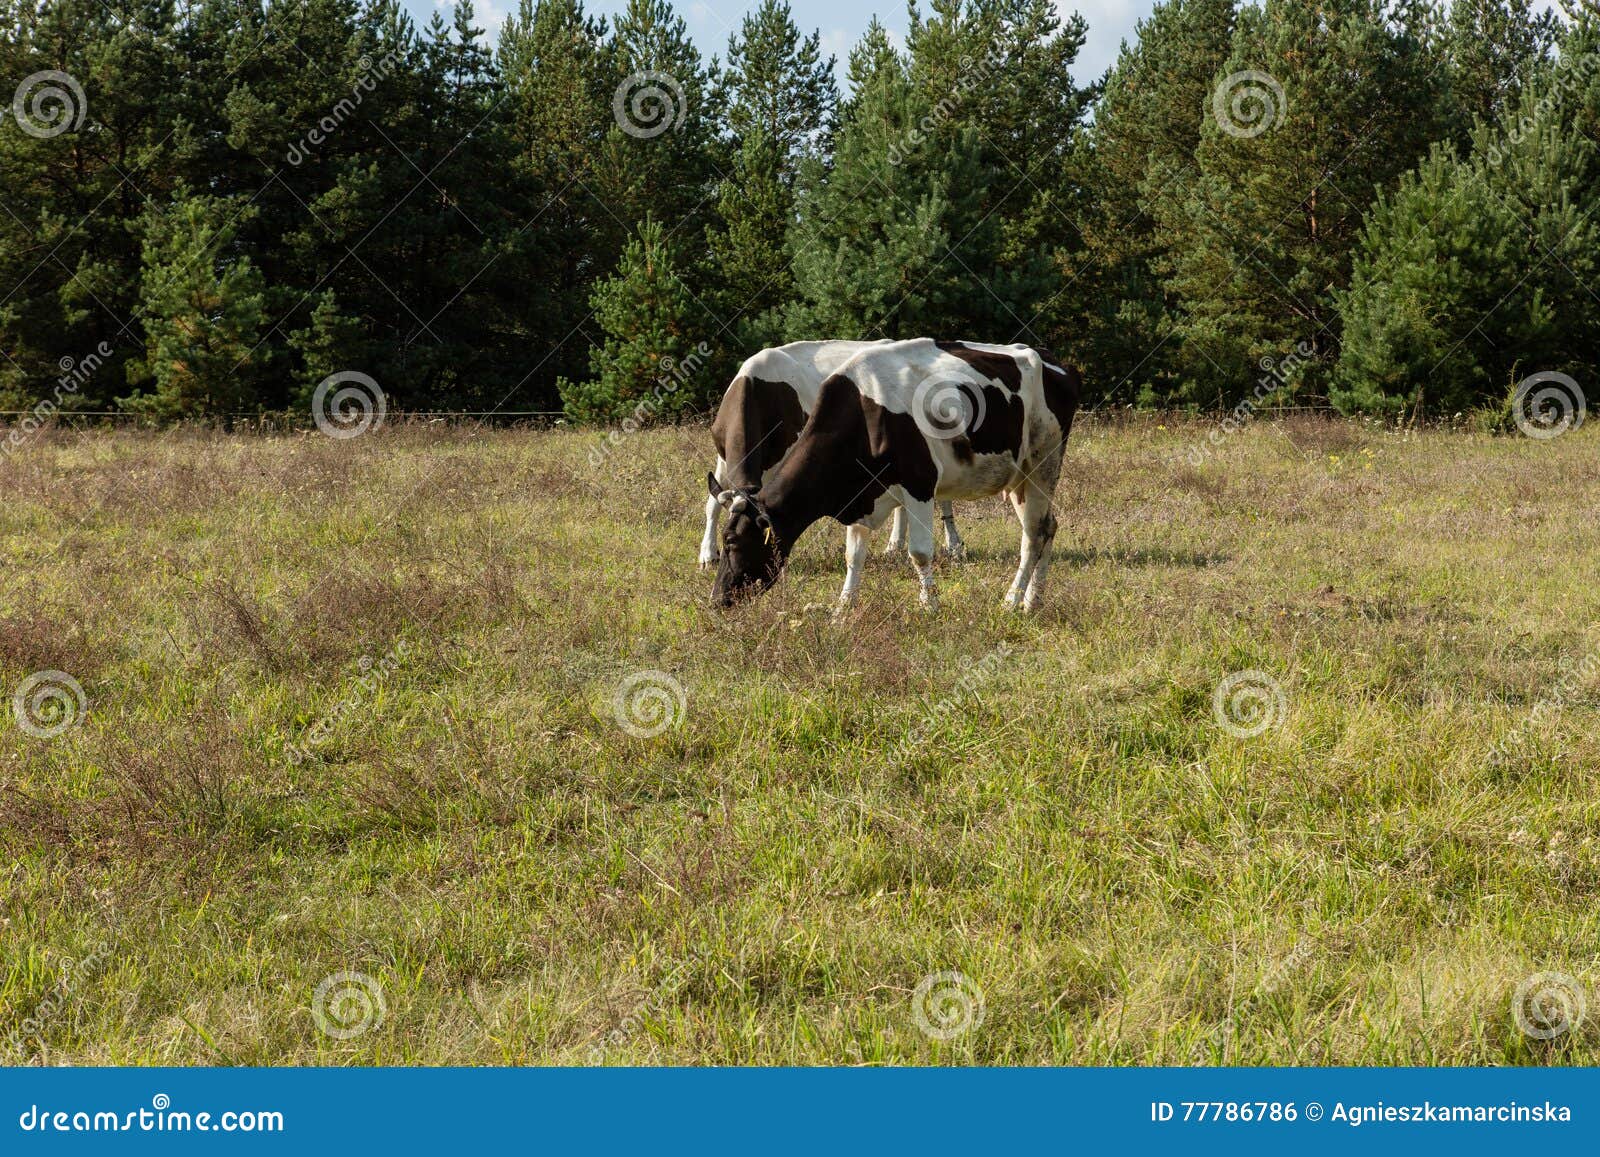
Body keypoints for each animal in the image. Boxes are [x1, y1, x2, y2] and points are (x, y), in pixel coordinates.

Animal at [701, 340, 964, 569]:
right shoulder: (722, 457)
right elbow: (712, 504)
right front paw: (707, 555)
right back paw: (894, 546)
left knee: (943, 496)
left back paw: (954, 546)